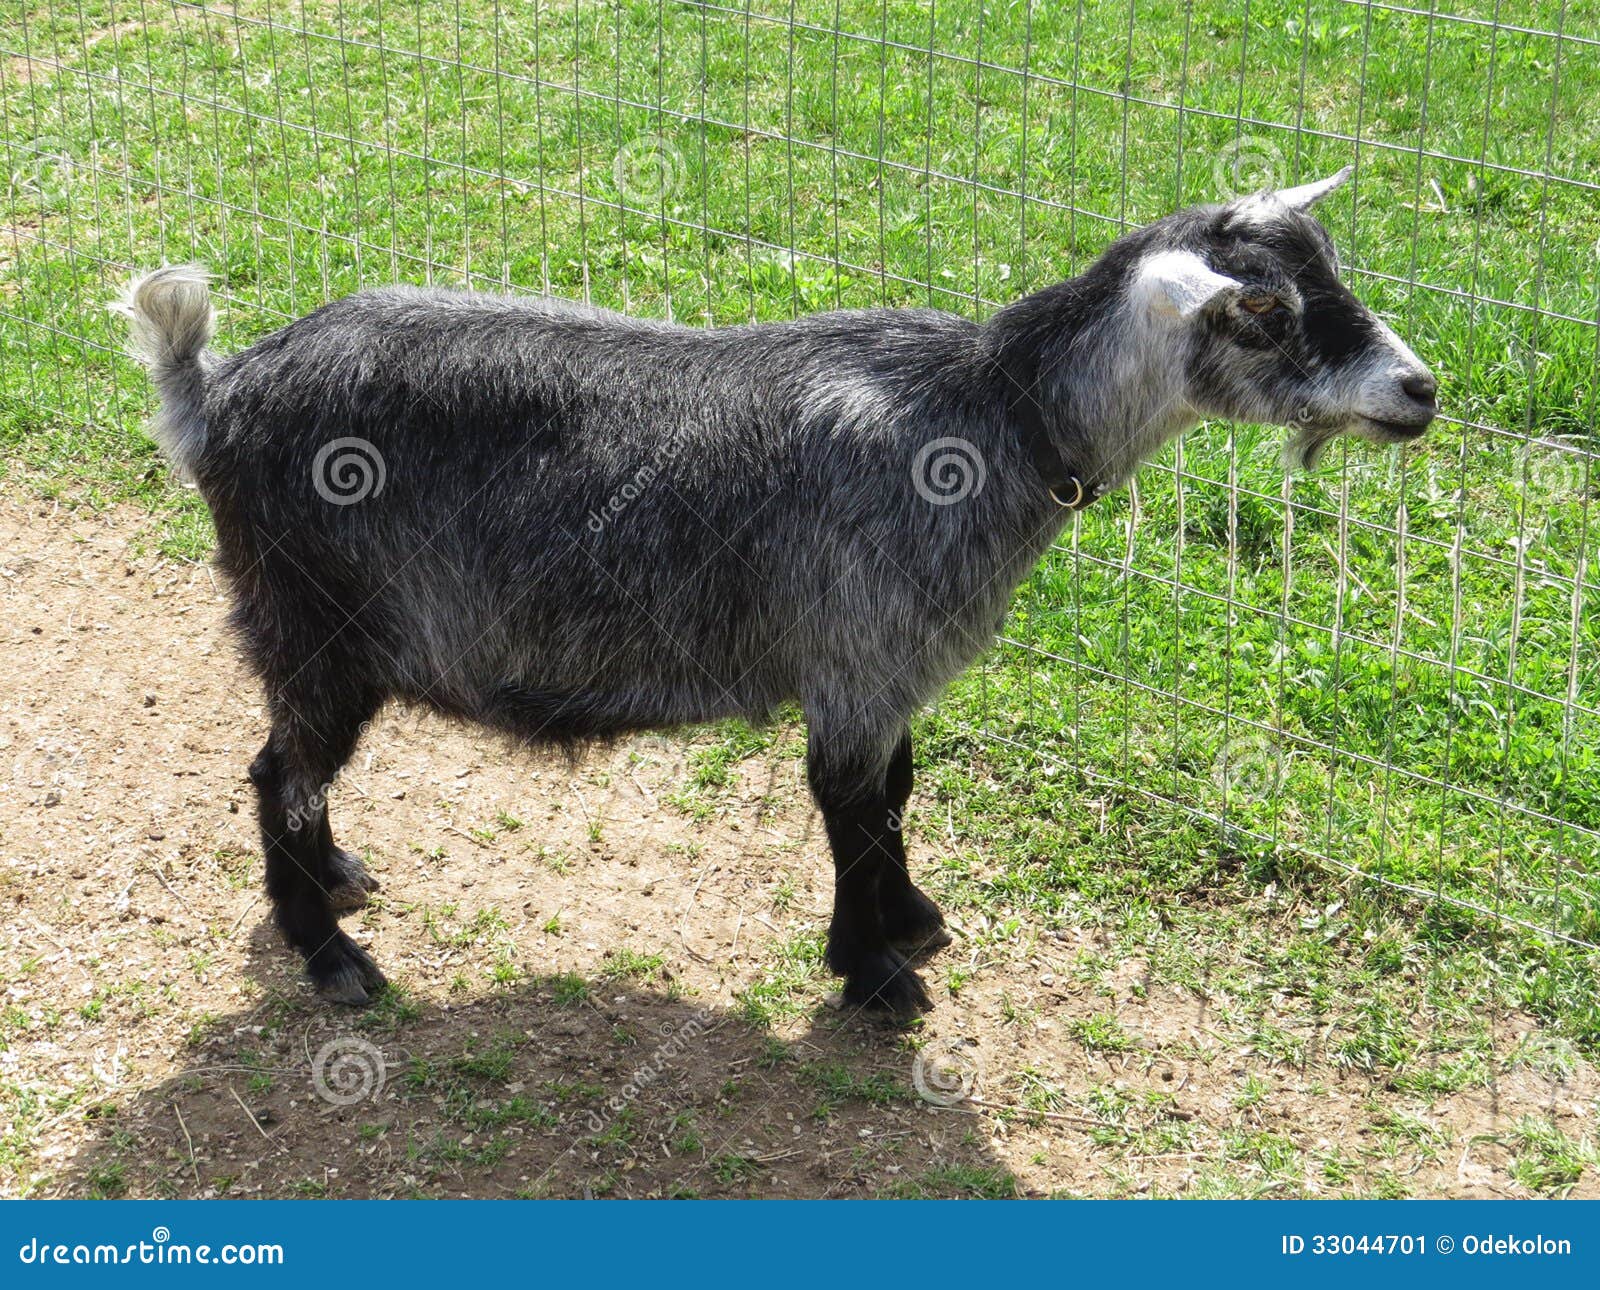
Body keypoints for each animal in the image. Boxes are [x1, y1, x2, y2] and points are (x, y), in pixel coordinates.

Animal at [119, 166, 1437, 1012]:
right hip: (311, 618)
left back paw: (338, 883)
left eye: (1328, 271)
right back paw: (329, 956)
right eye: (1261, 309)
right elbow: (851, 812)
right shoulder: (854, 660)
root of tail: (215, 393)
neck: (995, 416)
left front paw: (907, 922)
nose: (1417, 390)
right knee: (276, 771)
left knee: (289, 773)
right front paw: (874, 974)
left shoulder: (888, 676)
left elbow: (897, 795)